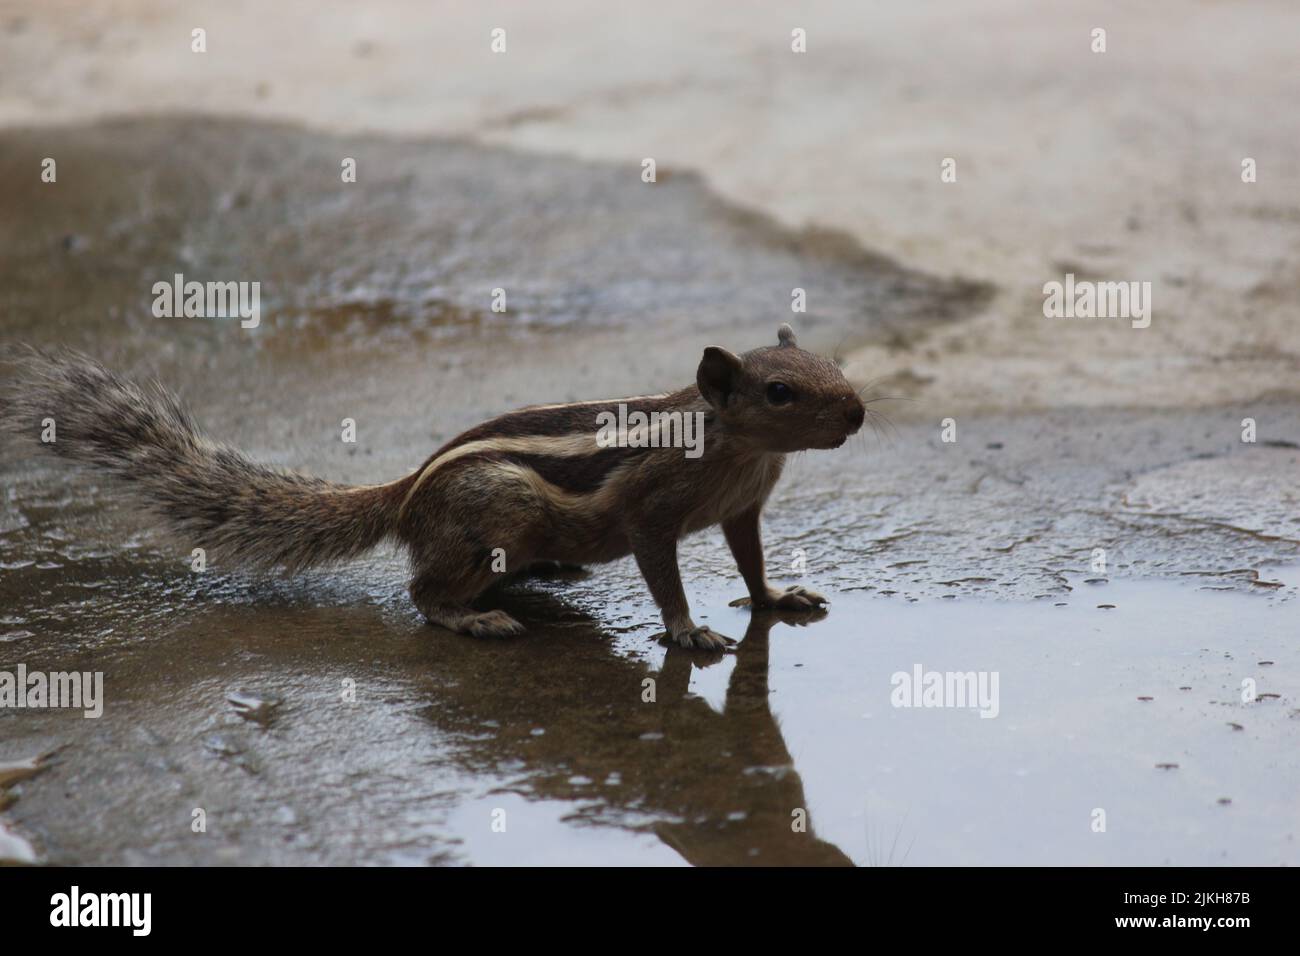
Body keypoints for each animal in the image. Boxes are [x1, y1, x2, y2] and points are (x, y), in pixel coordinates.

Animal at [7, 325, 865, 649]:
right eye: (781, 391)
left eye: (834, 361)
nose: (858, 412)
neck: (734, 447)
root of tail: (407, 494)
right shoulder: (651, 510)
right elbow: (662, 570)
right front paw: (687, 630)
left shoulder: (745, 508)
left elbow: (750, 558)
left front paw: (775, 598)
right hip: (500, 509)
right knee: (420, 591)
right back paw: (474, 617)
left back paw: (552, 575)